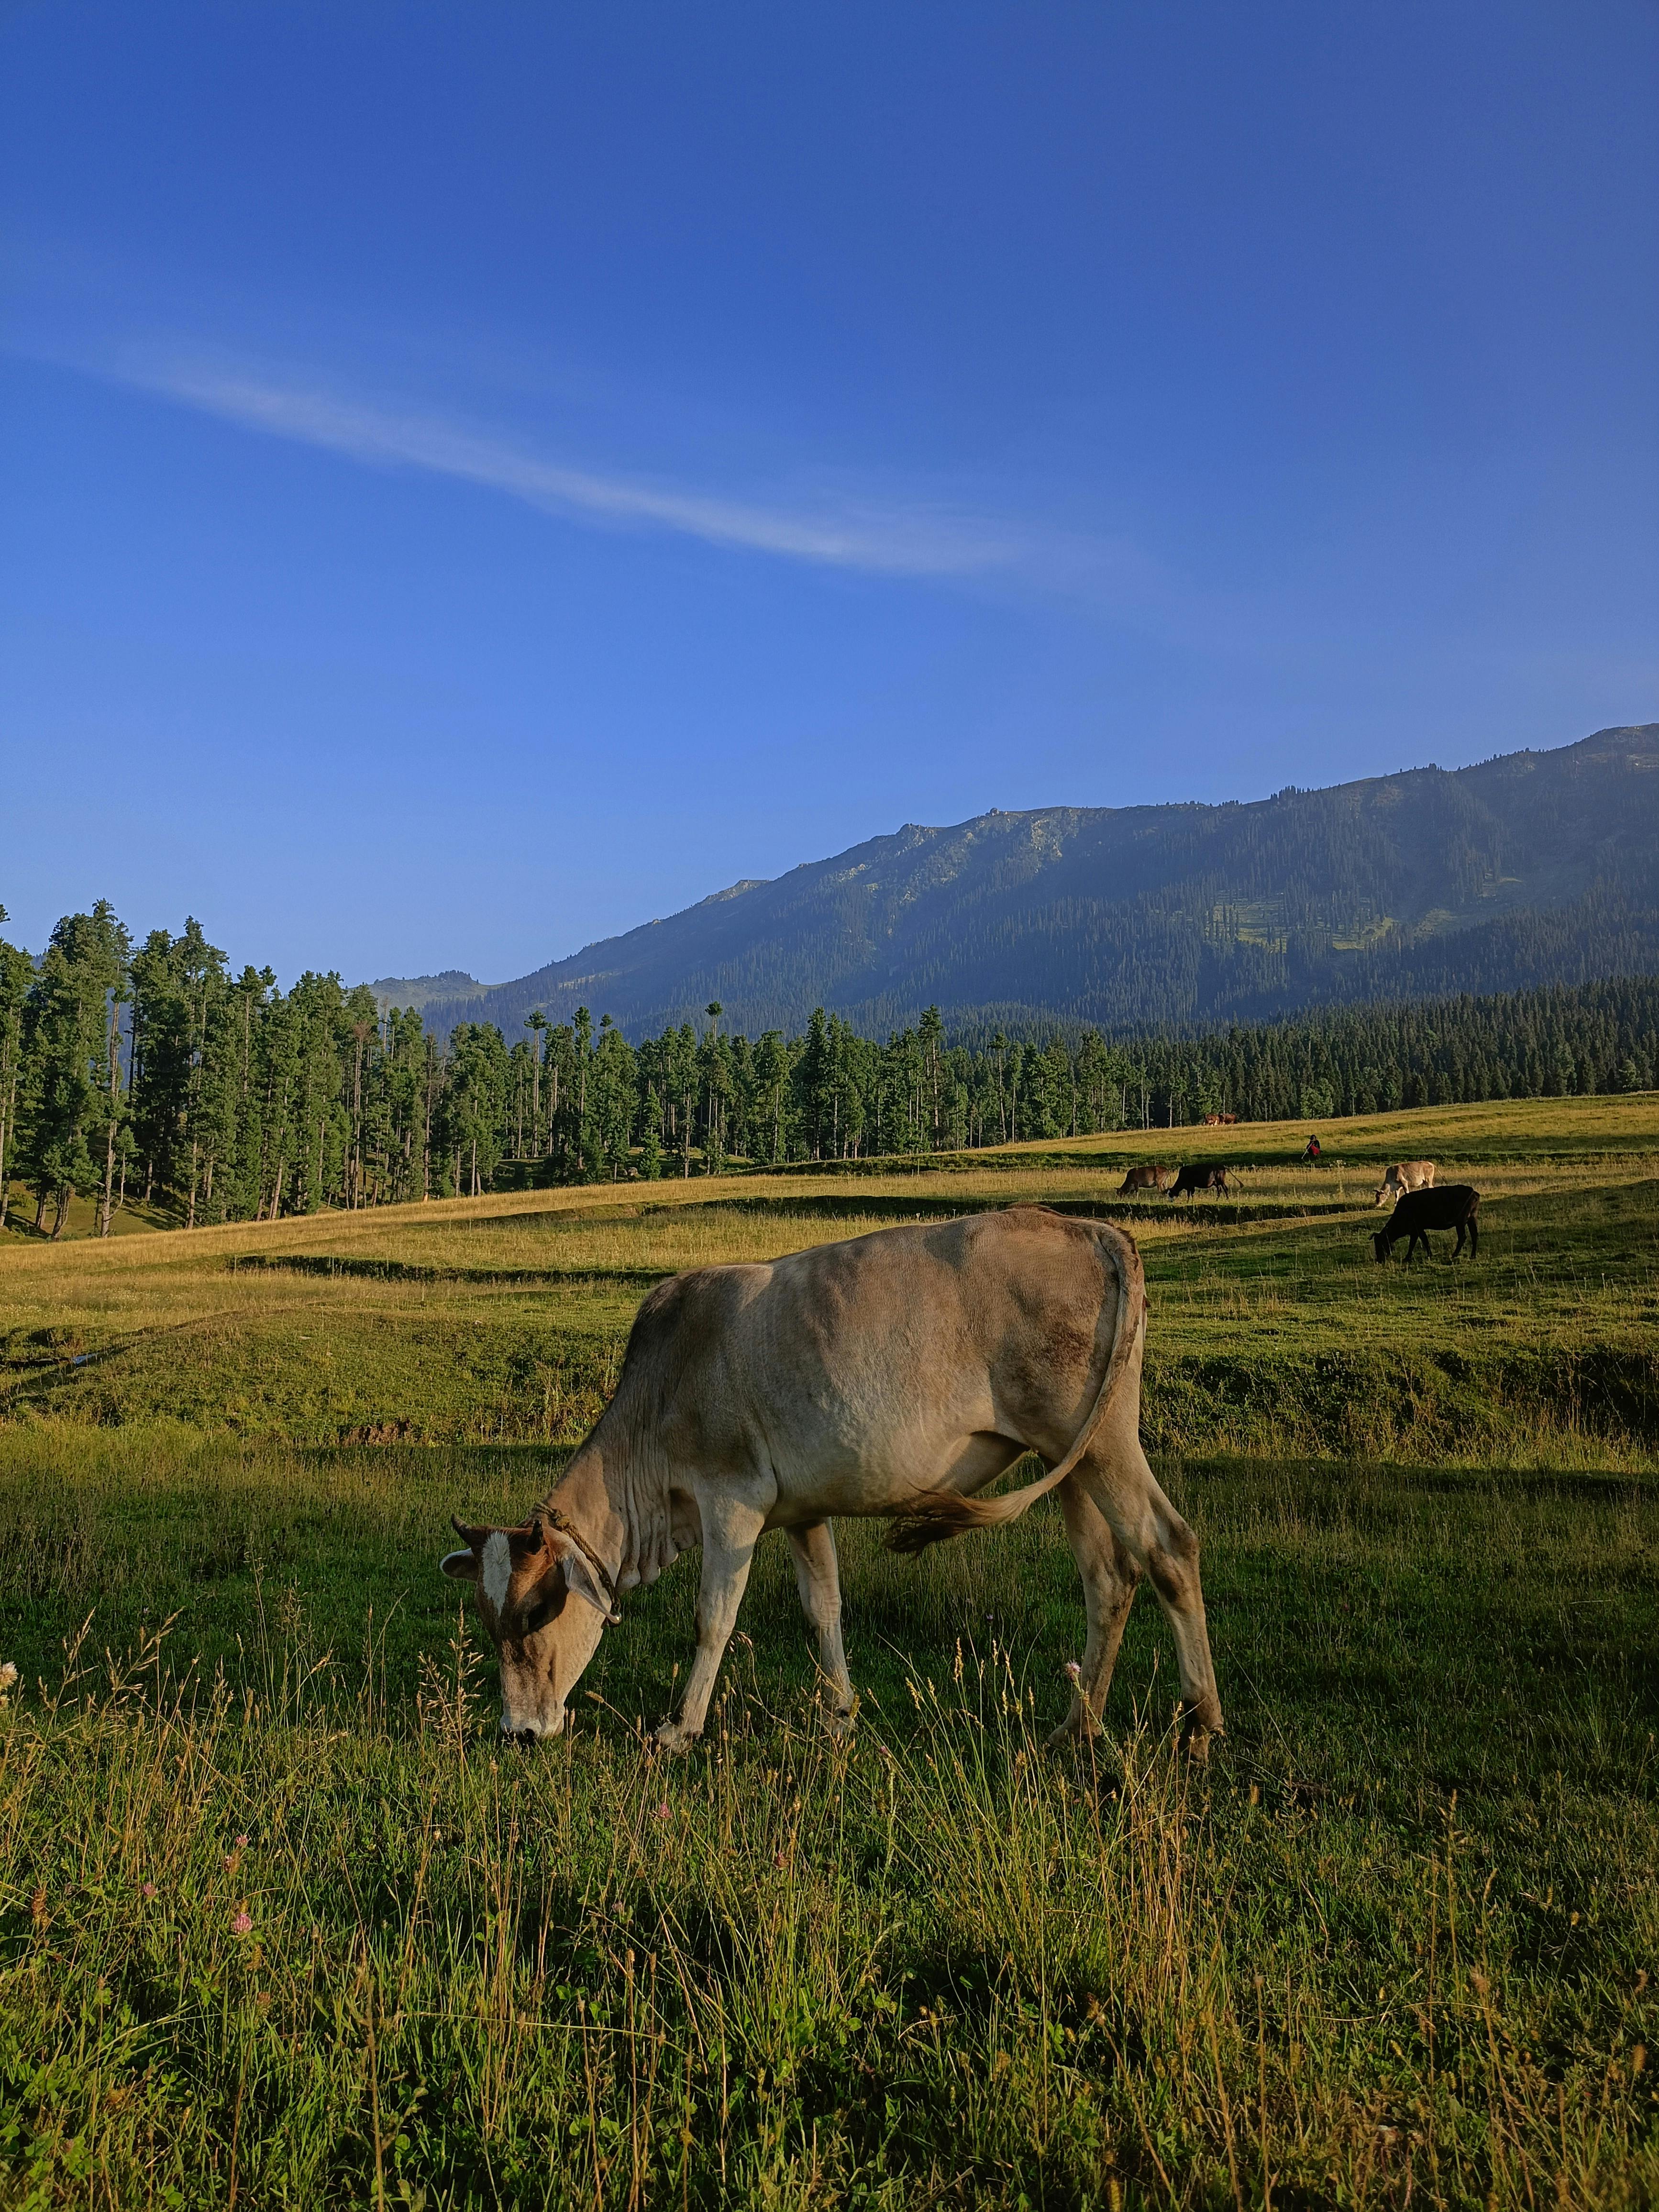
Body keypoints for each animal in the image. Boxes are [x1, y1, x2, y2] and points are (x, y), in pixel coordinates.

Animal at [438, 1207, 1224, 1759]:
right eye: (485, 1618)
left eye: (536, 1614)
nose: (517, 1731)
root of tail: (1093, 1228)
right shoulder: (799, 1511)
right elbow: (824, 1608)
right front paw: (840, 1716)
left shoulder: (732, 1502)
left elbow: (713, 1616)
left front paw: (680, 1728)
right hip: (1068, 1457)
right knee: (1108, 1576)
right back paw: (1076, 1727)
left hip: (1104, 1443)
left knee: (1169, 1547)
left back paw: (1199, 1722)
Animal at [1167, 1163, 1230, 1198]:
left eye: (1170, 1194)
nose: (1171, 1201)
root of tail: (1223, 1167)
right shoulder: (1191, 1187)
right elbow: (1191, 1195)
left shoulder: (1190, 1187)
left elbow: (1190, 1195)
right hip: (1218, 1184)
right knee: (1220, 1191)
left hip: (1221, 1182)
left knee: (1225, 1189)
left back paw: (1227, 1199)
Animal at [1372, 1184, 1479, 1263]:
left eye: (1380, 1244)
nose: (1379, 1260)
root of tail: (1473, 1191)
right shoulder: (1415, 1232)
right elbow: (1415, 1244)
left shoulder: (1418, 1230)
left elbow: (1422, 1242)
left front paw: (1424, 1256)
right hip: (1472, 1220)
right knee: (1474, 1235)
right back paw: (1473, 1255)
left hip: (1460, 1223)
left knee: (1463, 1237)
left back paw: (1454, 1255)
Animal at [1373, 1160, 1436, 1208]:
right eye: (1376, 1196)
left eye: (1379, 1196)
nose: (1377, 1206)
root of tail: (1431, 1164)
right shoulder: (1398, 1188)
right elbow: (1397, 1196)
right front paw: (1395, 1204)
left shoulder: (1405, 1183)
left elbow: (1406, 1193)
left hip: (1428, 1181)